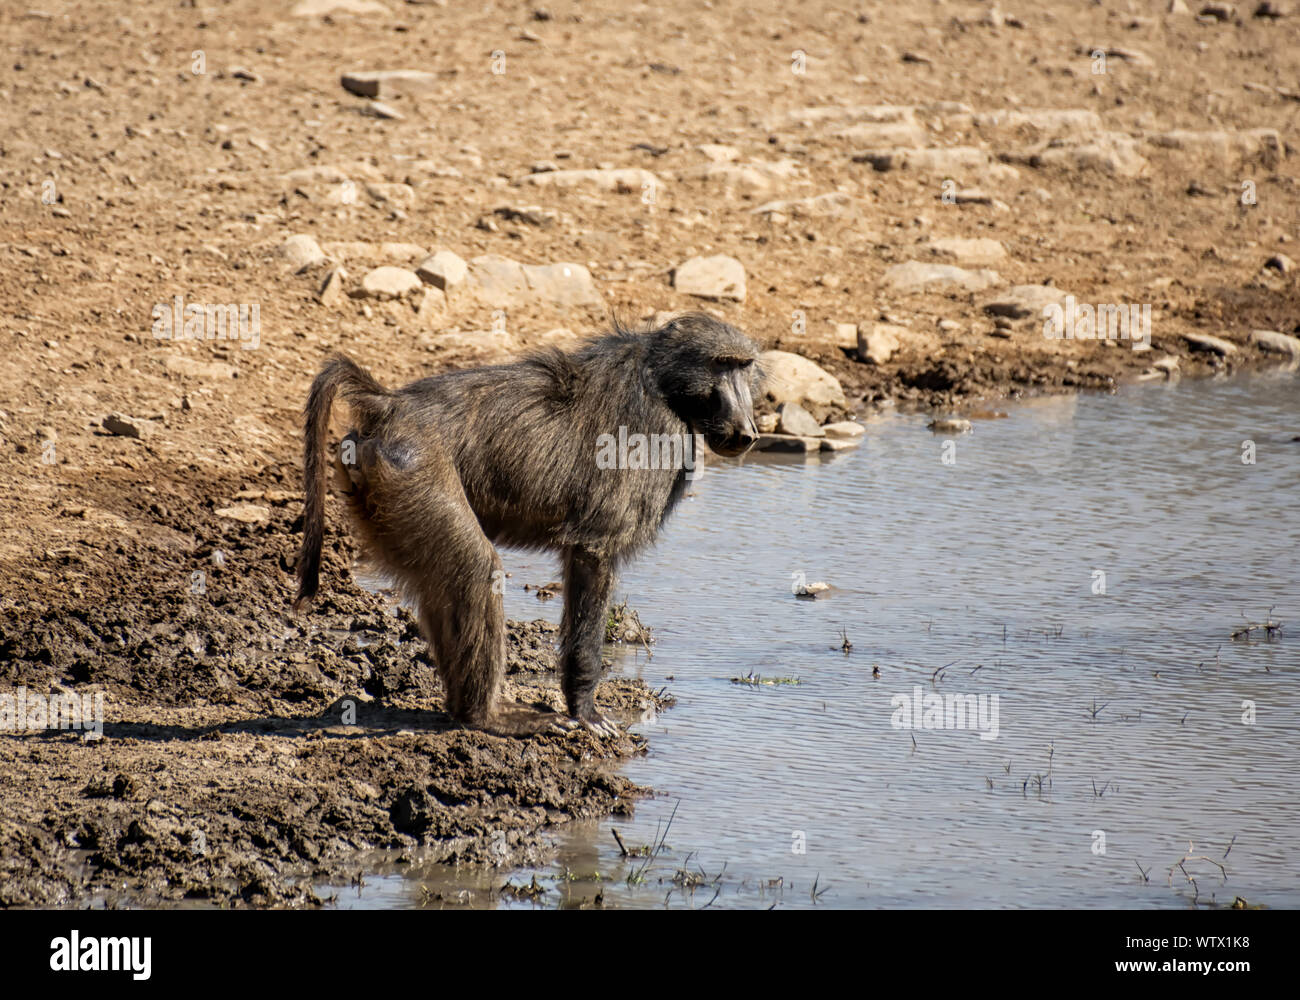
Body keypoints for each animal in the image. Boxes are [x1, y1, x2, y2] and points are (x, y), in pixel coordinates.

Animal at [294, 312, 761, 737]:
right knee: (478, 572)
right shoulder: (644, 453)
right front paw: (586, 711)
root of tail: (389, 404)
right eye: (721, 365)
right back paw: (487, 717)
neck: (664, 383)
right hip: (414, 474)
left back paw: (462, 709)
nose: (746, 431)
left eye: (744, 366)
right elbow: (593, 564)